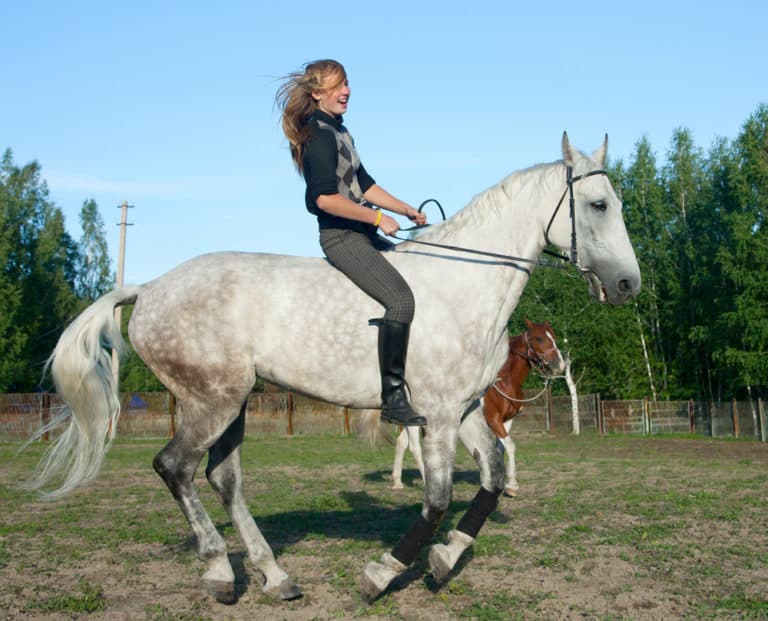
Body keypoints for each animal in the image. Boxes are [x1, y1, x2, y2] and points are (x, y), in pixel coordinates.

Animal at [390, 319, 564, 496]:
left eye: (554, 337)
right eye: (539, 338)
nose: (560, 365)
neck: (503, 382)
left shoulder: (507, 421)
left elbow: (500, 449)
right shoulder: (493, 420)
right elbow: (510, 446)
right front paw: (512, 486)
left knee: (401, 443)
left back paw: (397, 482)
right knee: (414, 448)